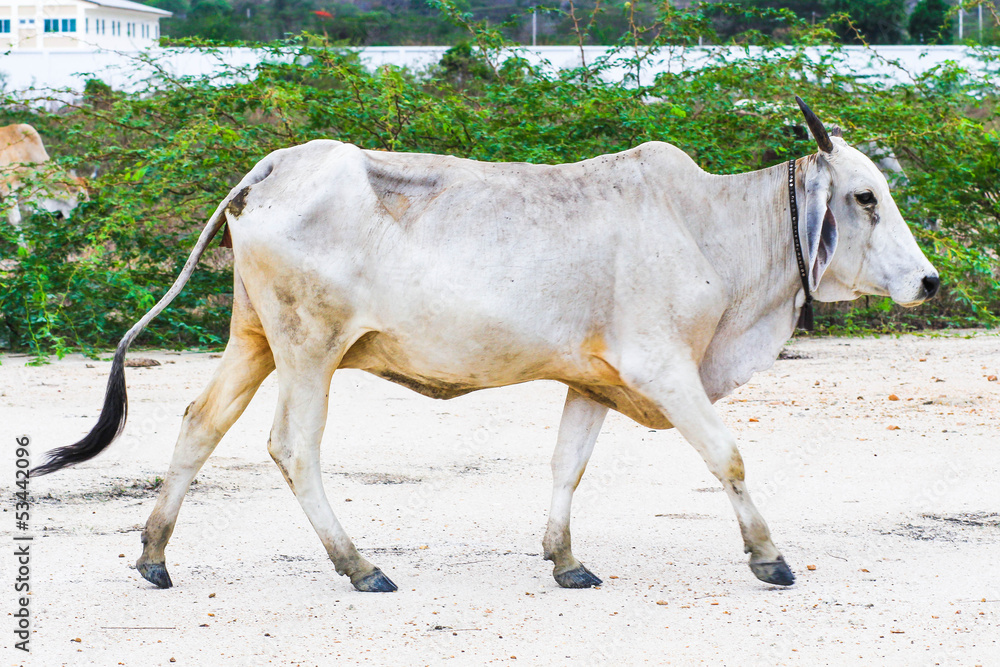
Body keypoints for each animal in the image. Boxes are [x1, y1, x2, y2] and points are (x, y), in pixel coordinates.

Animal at [33, 98, 939, 594]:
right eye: (866, 196)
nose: (929, 282)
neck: (708, 228)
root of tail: (277, 163)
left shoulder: (593, 379)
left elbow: (567, 466)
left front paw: (565, 559)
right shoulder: (664, 369)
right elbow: (729, 457)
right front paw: (769, 557)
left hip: (254, 339)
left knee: (197, 424)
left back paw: (154, 555)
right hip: (309, 348)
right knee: (292, 447)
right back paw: (359, 565)